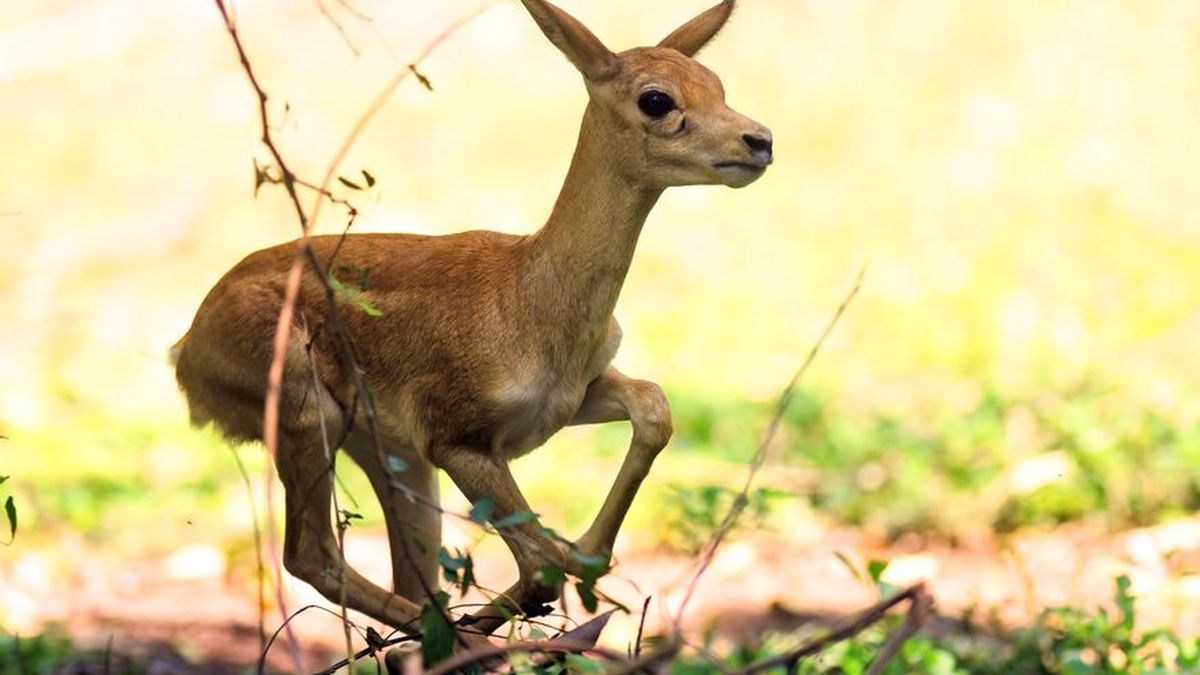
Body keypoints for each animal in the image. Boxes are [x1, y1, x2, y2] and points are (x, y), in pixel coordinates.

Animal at [173, 0, 772, 640]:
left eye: (715, 82)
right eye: (656, 99)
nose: (759, 141)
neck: (530, 295)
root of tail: (187, 347)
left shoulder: (564, 404)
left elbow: (653, 408)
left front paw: (584, 554)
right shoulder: (457, 439)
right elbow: (539, 566)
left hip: (393, 458)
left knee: (401, 574)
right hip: (312, 417)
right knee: (311, 557)